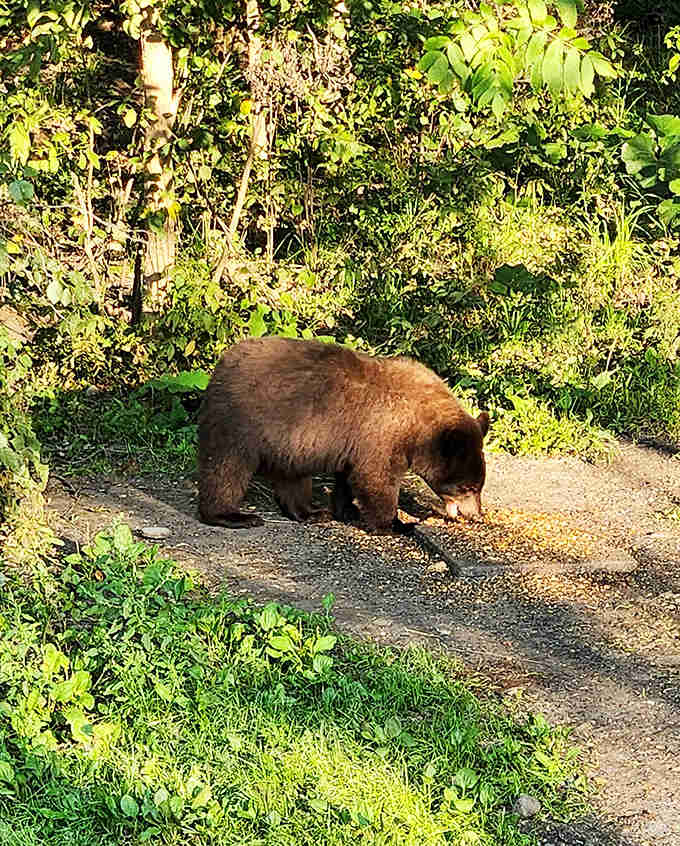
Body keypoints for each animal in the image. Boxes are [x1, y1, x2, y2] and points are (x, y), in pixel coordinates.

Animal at [198, 336, 489, 533]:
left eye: (479, 486)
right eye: (467, 487)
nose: (476, 514)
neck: (418, 424)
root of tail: (222, 363)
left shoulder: (357, 442)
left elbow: (349, 476)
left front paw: (346, 509)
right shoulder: (382, 433)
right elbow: (376, 478)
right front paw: (395, 523)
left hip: (290, 441)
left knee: (292, 477)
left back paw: (311, 512)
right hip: (241, 420)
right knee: (226, 468)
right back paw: (231, 515)